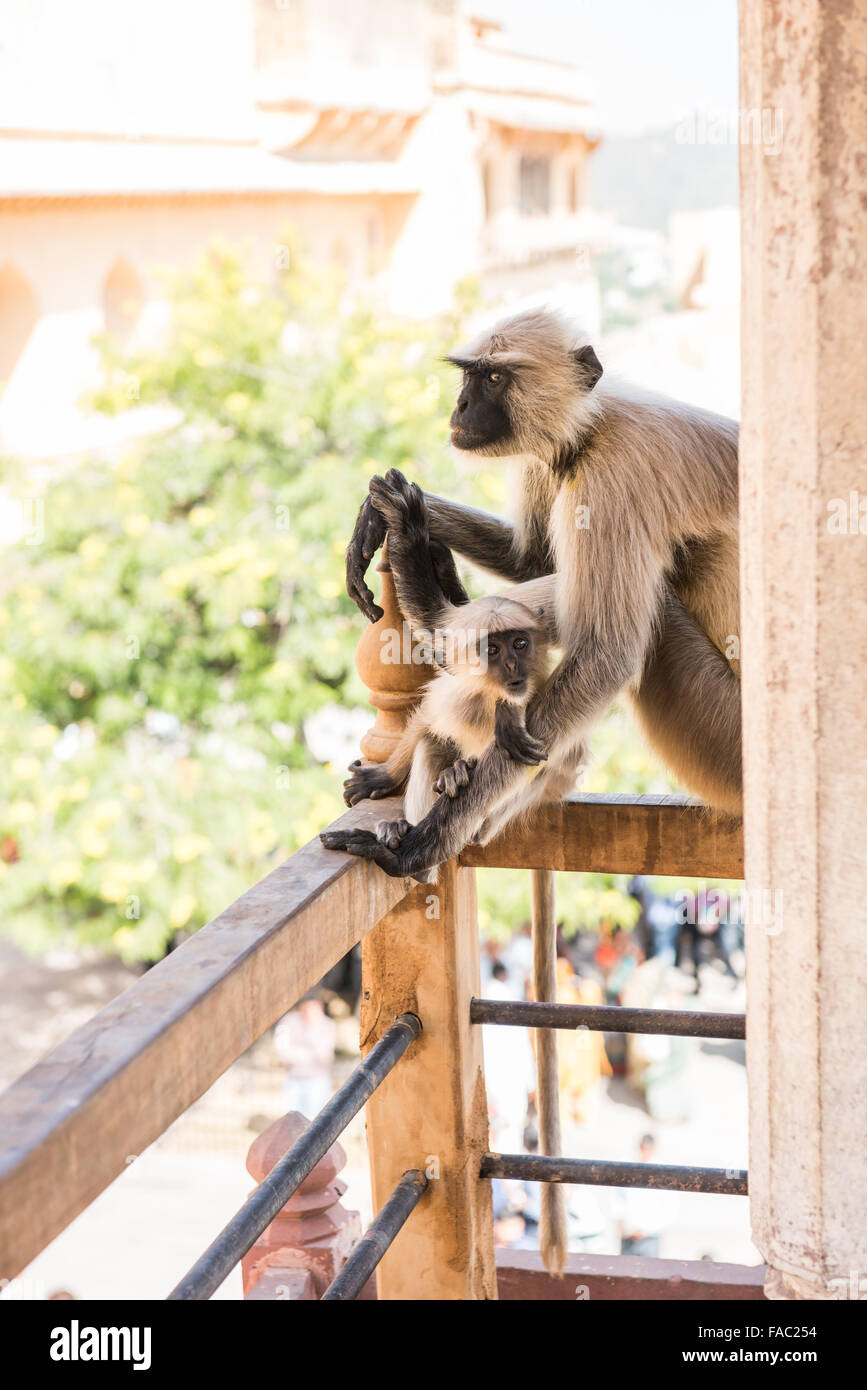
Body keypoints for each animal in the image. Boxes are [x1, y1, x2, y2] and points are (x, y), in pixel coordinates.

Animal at [325, 305, 742, 882]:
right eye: (470, 376)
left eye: (495, 378)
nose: (461, 404)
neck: (590, 427)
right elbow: (533, 560)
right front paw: (391, 516)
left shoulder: (613, 476)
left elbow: (607, 654)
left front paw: (426, 842)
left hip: (725, 739)